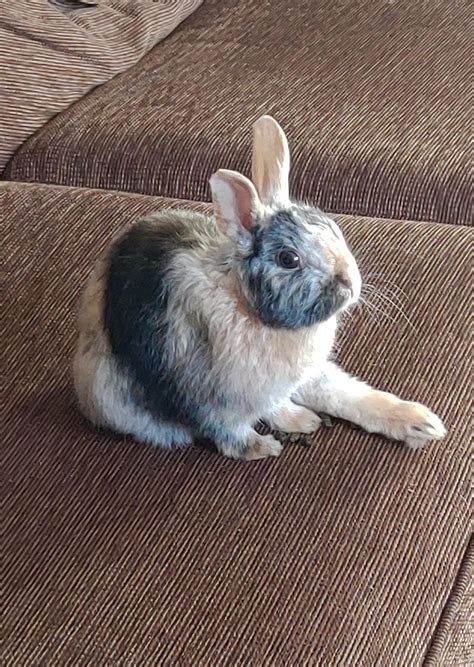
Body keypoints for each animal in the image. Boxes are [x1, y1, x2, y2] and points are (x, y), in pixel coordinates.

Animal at [73, 115, 446, 460]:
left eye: (333, 227)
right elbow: (229, 433)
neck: (249, 309)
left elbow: (341, 394)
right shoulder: (210, 396)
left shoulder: (302, 377)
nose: (350, 284)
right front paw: (263, 447)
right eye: (288, 259)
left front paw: (424, 424)